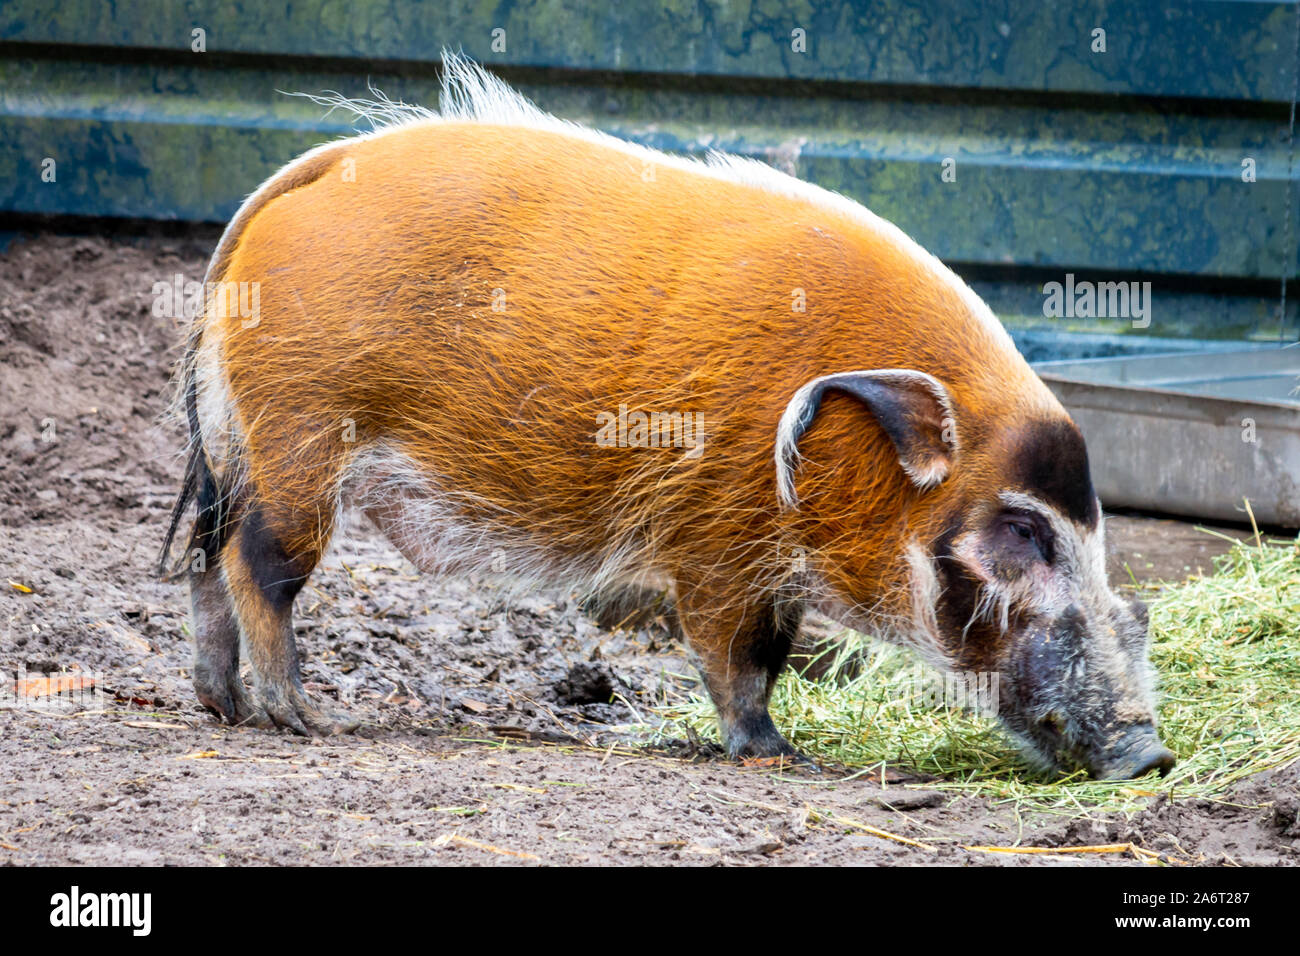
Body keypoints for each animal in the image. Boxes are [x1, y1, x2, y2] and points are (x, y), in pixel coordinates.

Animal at [159, 55, 1174, 780]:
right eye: (1022, 531)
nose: (1150, 754)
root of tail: (307, 173)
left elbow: (767, 651)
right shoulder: (715, 536)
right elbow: (735, 654)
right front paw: (781, 757)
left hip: (241, 443)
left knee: (207, 554)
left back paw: (223, 706)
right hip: (301, 437)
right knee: (255, 560)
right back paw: (299, 716)